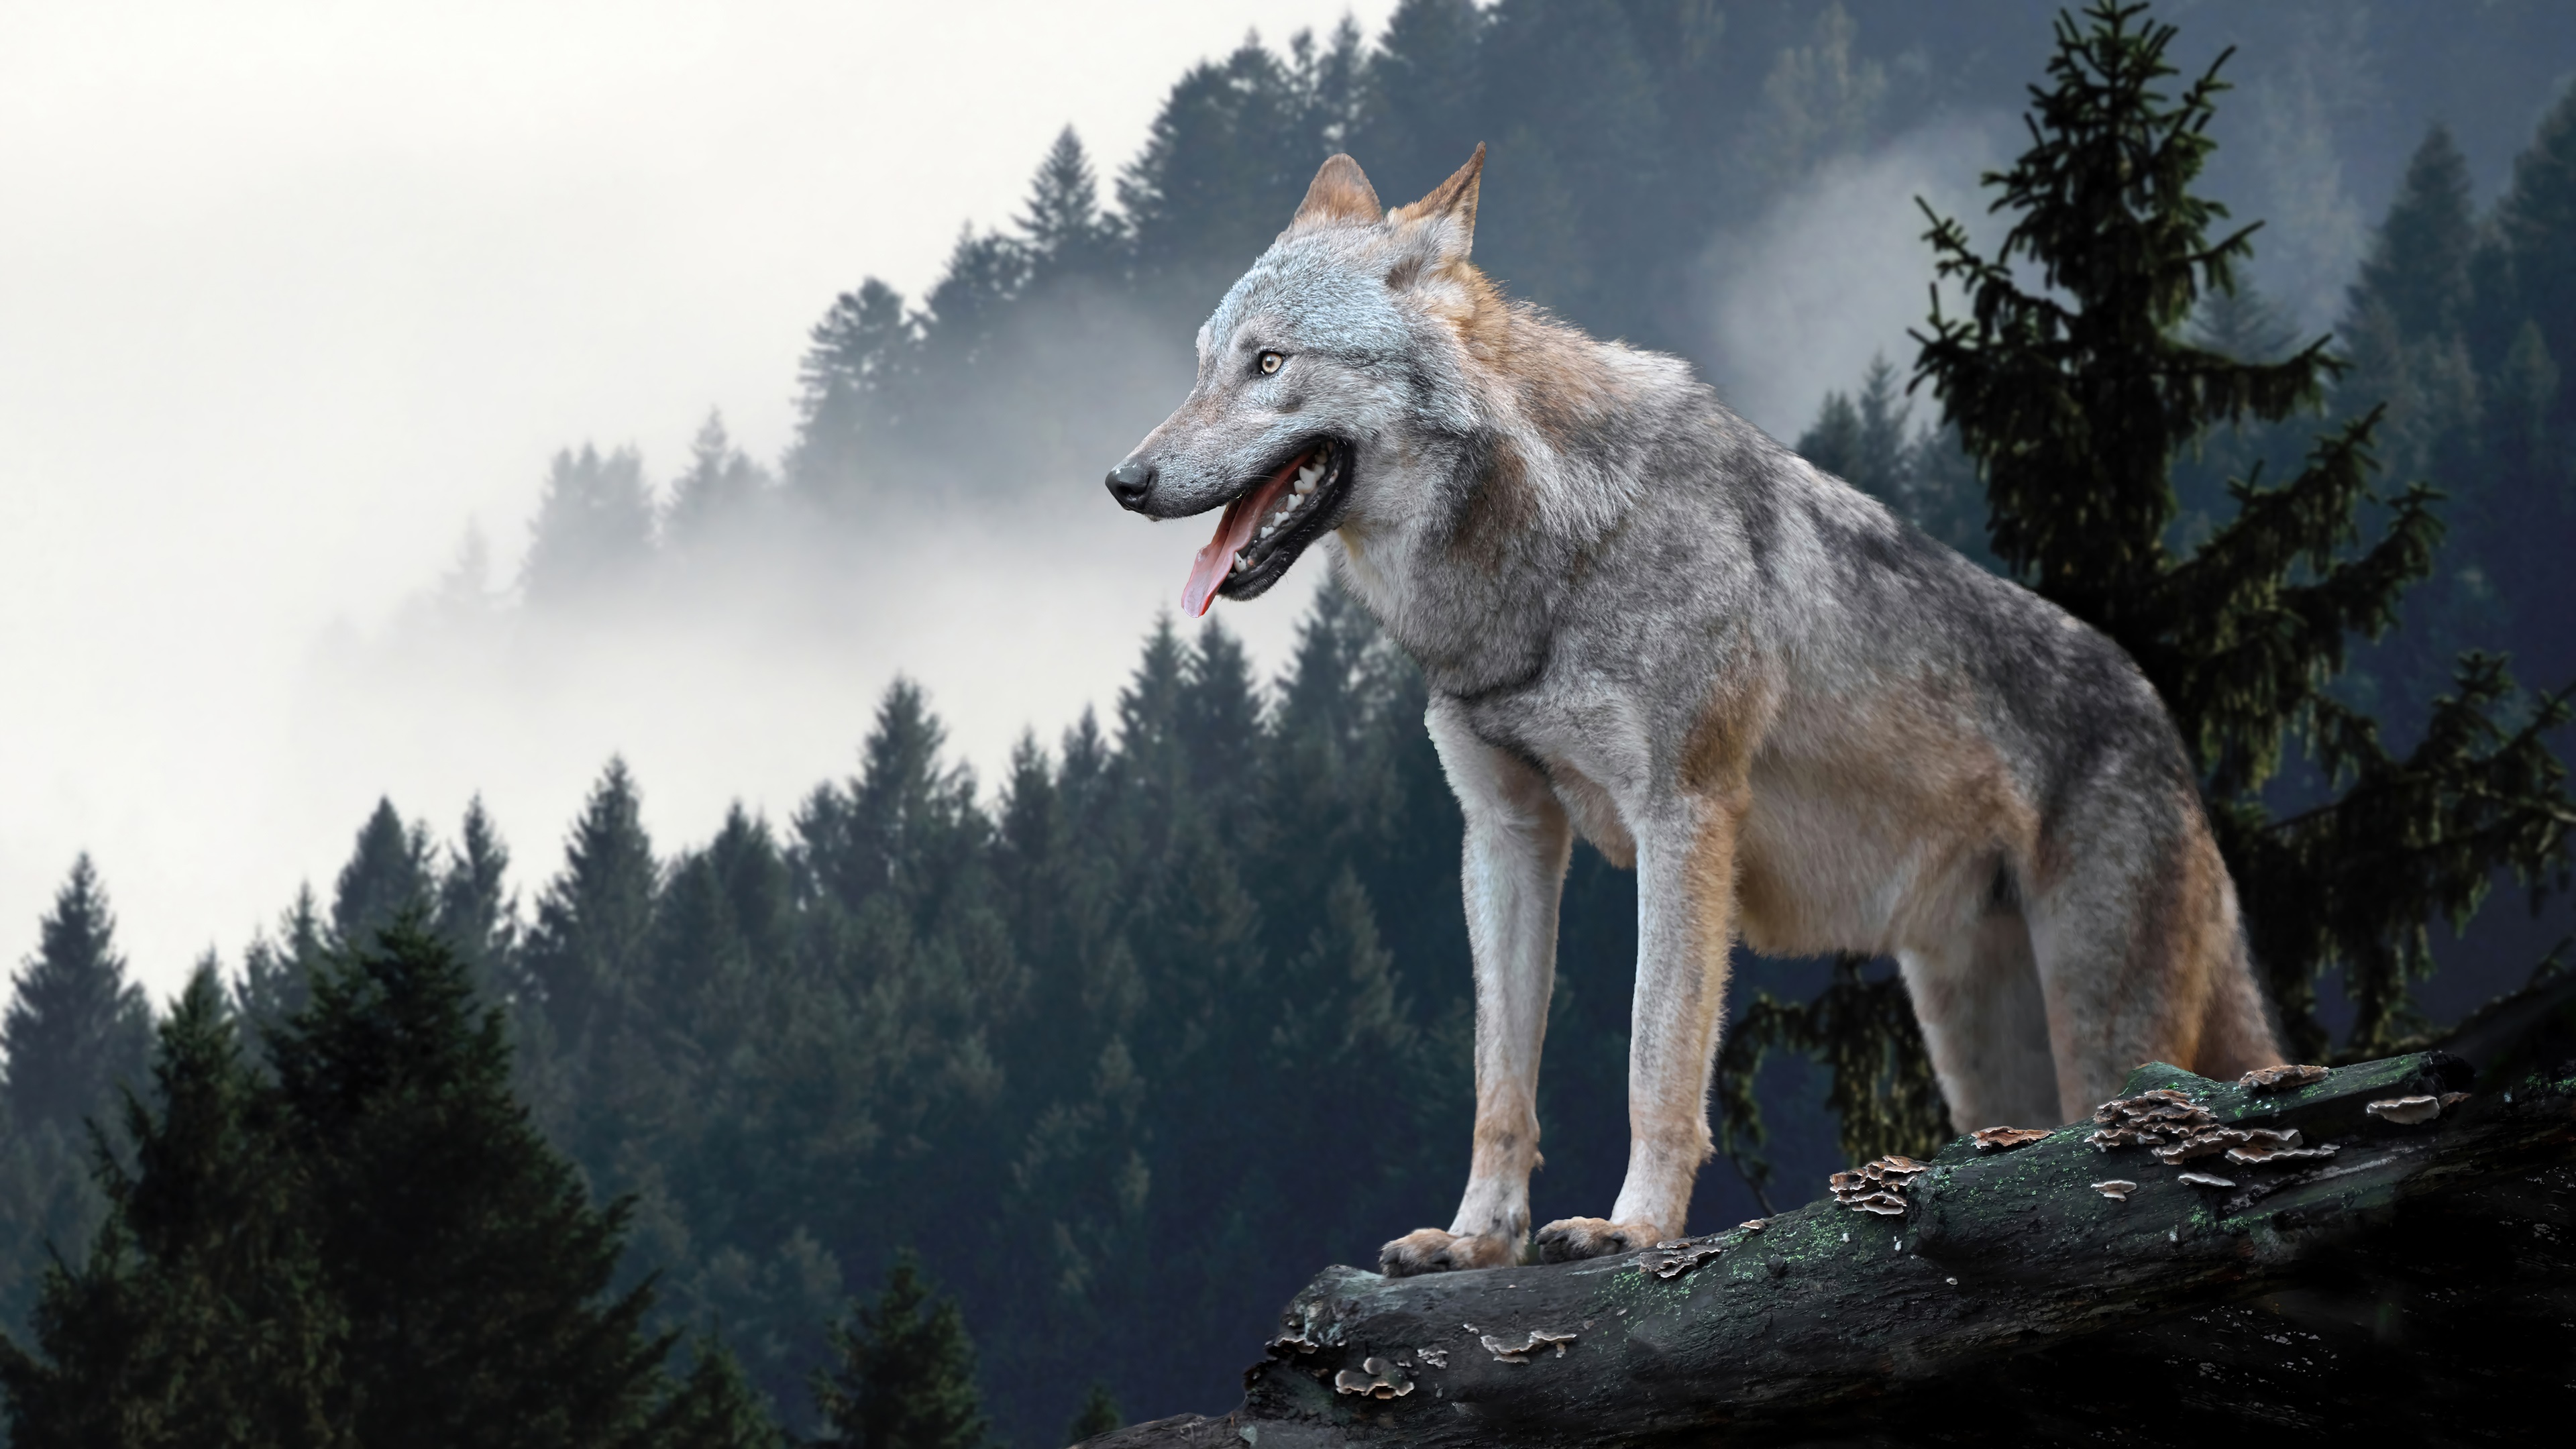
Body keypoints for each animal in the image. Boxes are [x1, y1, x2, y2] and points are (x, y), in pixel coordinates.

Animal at [1103, 147, 2282, 1275]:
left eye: (1270, 363)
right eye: (1204, 363)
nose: (1124, 480)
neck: (1547, 559)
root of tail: (2167, 727)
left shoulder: (1684, 817)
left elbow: (1655, 1058)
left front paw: (1633, 1231)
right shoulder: (1504, 833)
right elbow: (1500, 1084)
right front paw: (1477, 1241)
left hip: (2101, 1035)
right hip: (1981, 1055)